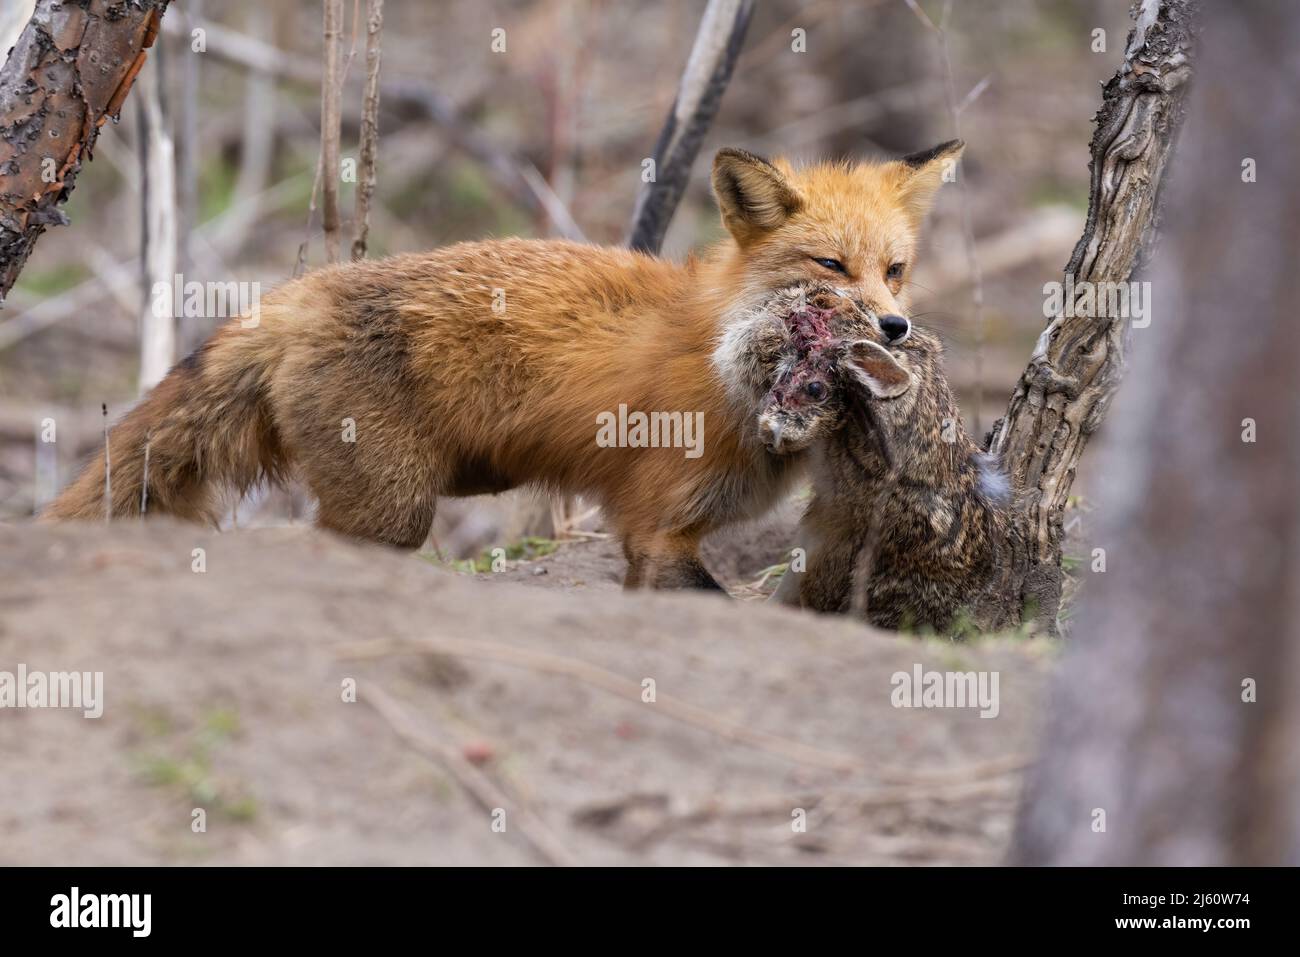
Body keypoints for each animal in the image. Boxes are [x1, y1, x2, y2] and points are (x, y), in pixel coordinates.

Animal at [46, 140, 963, 590]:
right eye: (830, 268)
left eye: (895, 270)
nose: (894, 326)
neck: (725, 352)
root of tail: (298, 293)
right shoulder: (657, 523)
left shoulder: (654, 536)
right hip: (393, 509)